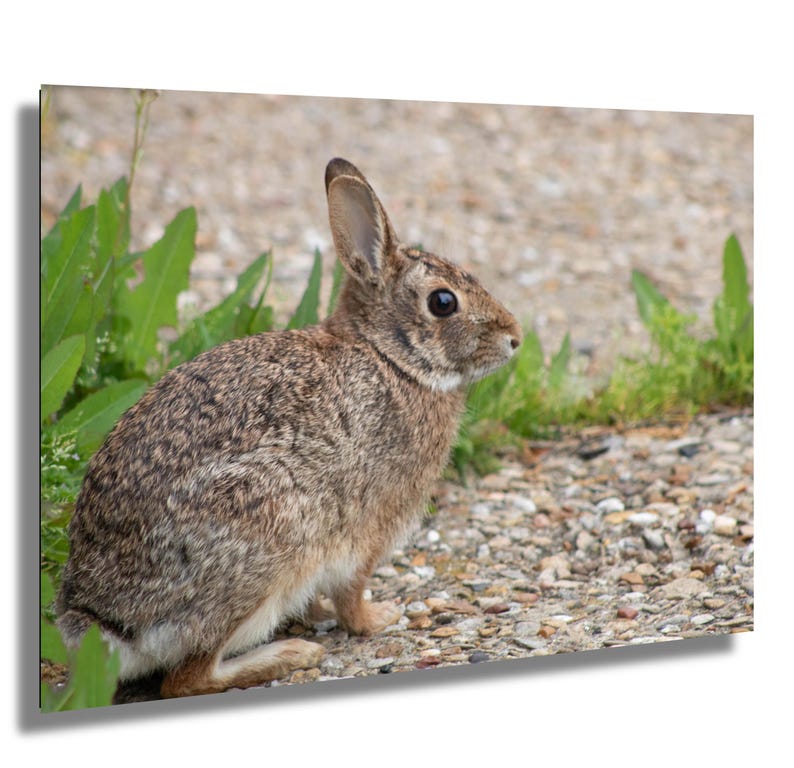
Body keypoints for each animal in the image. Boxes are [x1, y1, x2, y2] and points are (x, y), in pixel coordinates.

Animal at [55, 157, 522, 703]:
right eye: (443, 302)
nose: (515, 337)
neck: (391, 358)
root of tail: (103, 623)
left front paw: (321, 612)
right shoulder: (365, 529)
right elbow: (352, 593)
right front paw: (379, 619)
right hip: (264, 542)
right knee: (186, 679)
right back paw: (292, 654)